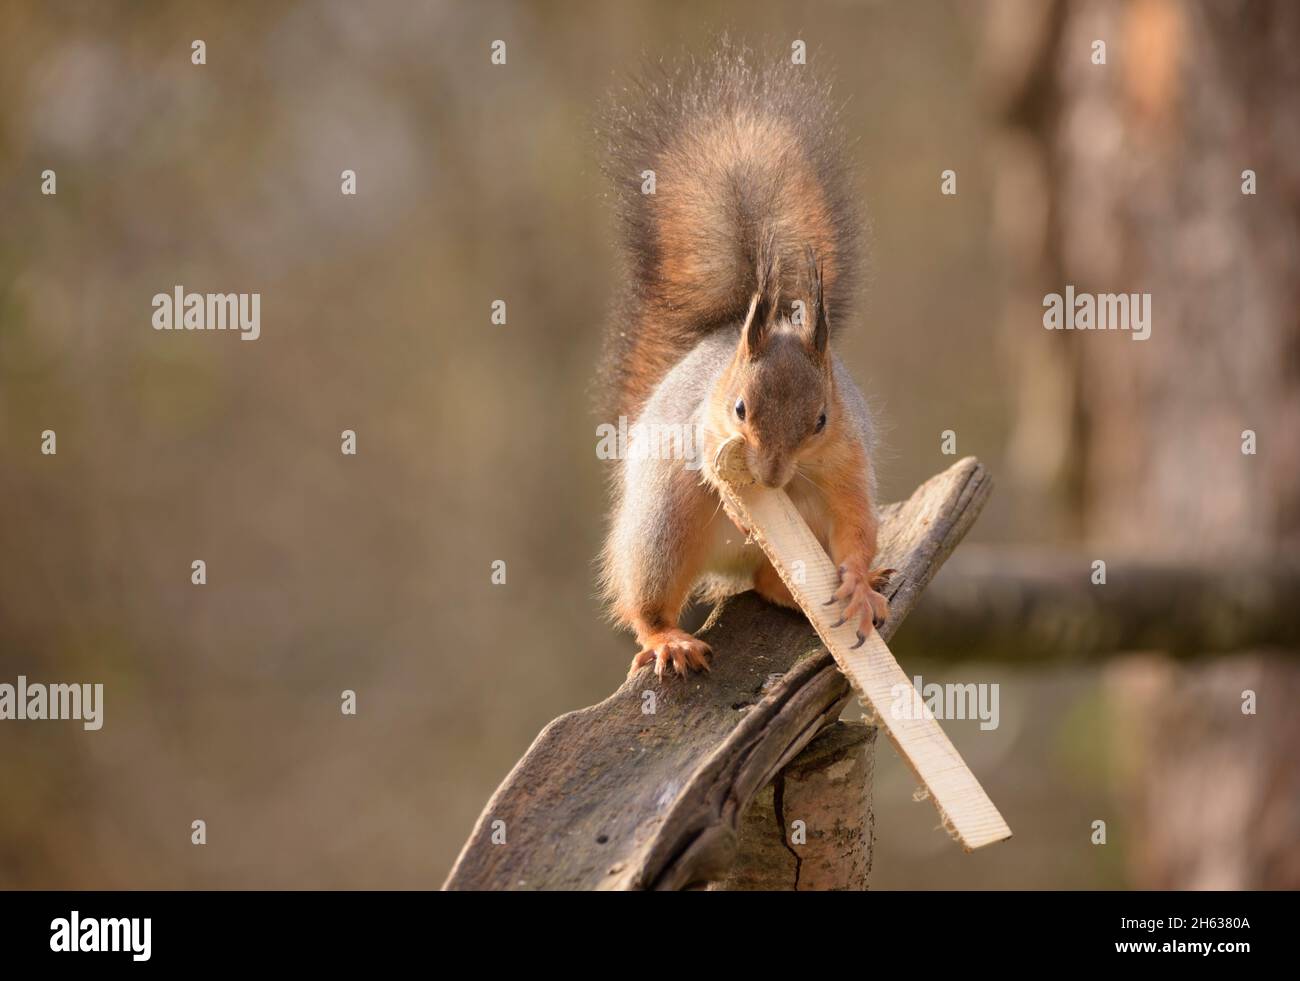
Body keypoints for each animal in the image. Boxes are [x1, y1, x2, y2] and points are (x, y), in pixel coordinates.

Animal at [598, 43, 892, 679]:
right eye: (737, 409)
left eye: (821, 420)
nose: (771, 478)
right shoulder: (700, 425)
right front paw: (733, 499)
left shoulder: (847, 457)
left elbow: (857, 524)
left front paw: (859, 585)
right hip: (662, 528)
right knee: (646, 599)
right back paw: (668, 638)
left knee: (765, 582)